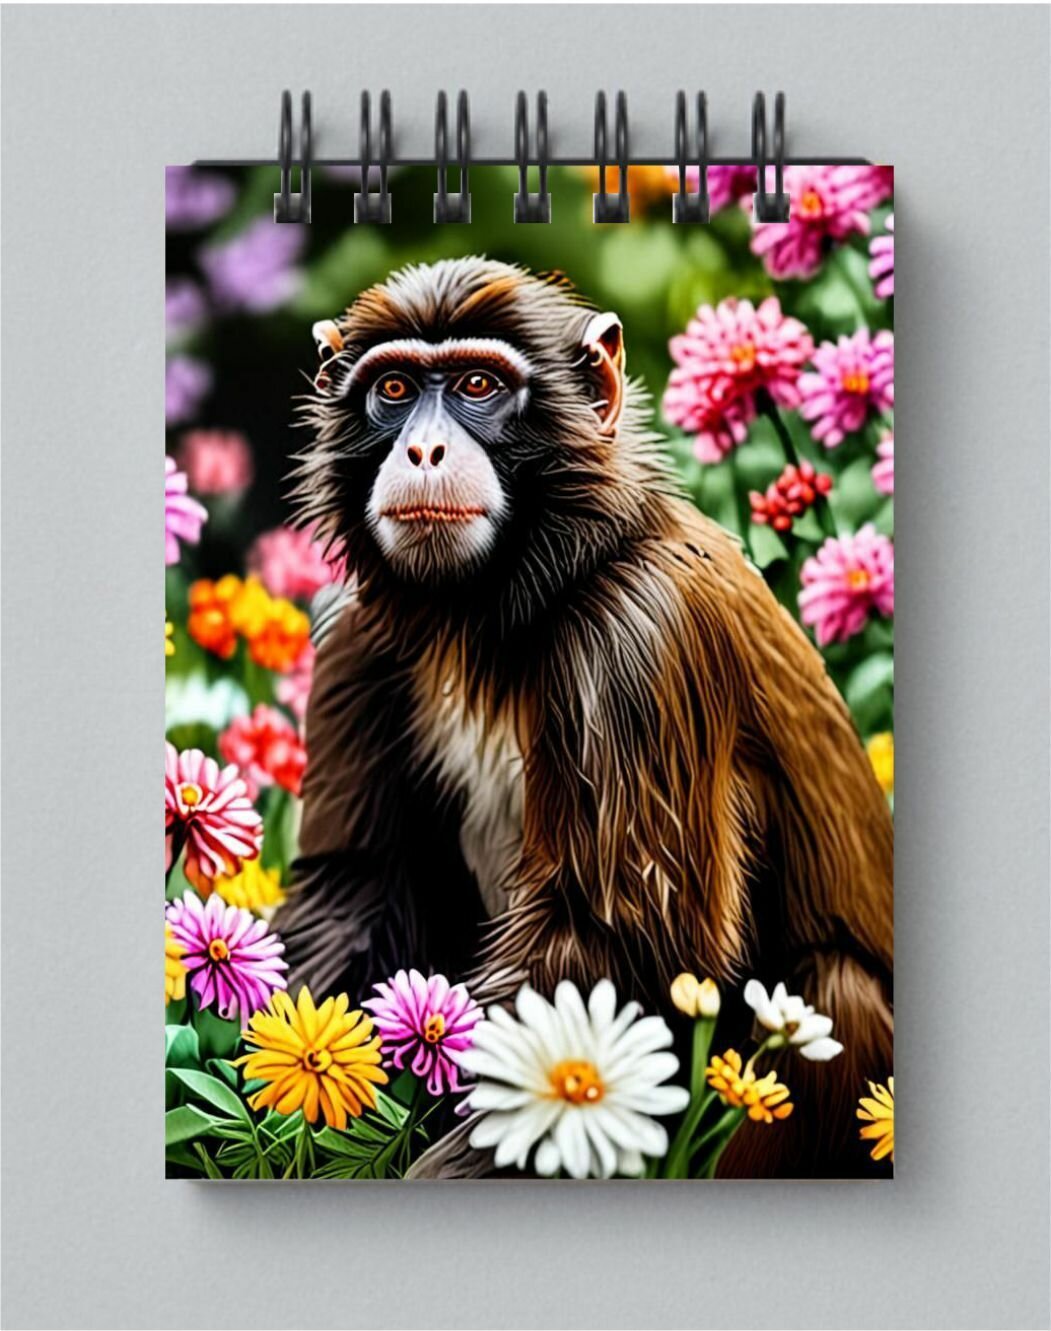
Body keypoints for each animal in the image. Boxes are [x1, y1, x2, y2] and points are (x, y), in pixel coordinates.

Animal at [274, 256, 894, 1179]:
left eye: (477, 384)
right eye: (393, 387)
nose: (422, 447)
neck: (499, 605)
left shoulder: (641, 635)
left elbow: (609, 960)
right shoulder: (353, 631)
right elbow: (356, 895)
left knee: (832, 992)